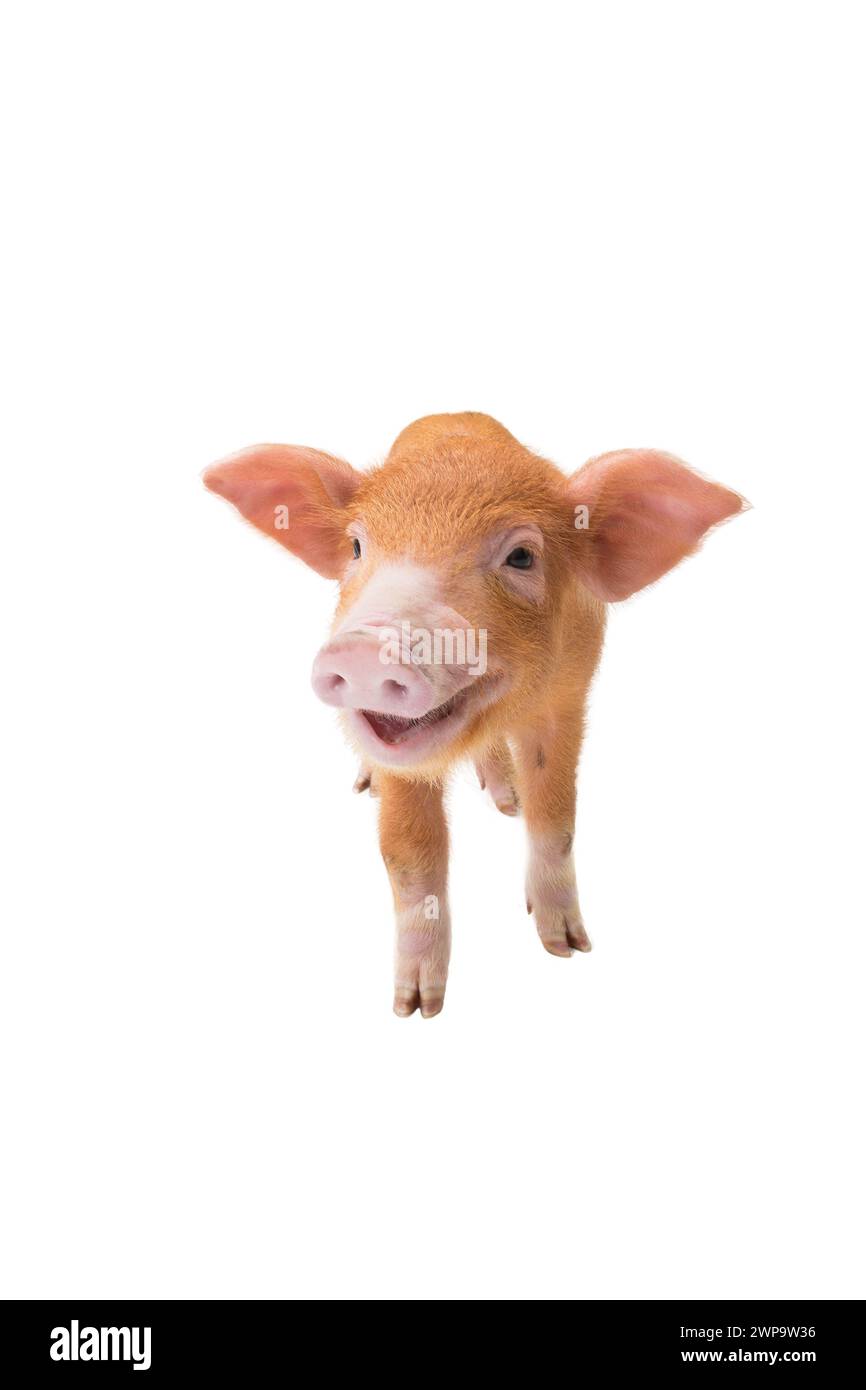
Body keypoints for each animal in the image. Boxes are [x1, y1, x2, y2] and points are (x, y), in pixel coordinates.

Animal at [204, 413, 745, 1017]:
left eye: (522, 556)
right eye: (357, 546)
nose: (367, 648)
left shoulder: (569, 696)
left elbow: (557, 816)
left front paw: (567, 948)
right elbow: (410, 855)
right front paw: (416, 1006)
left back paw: (507, 801)